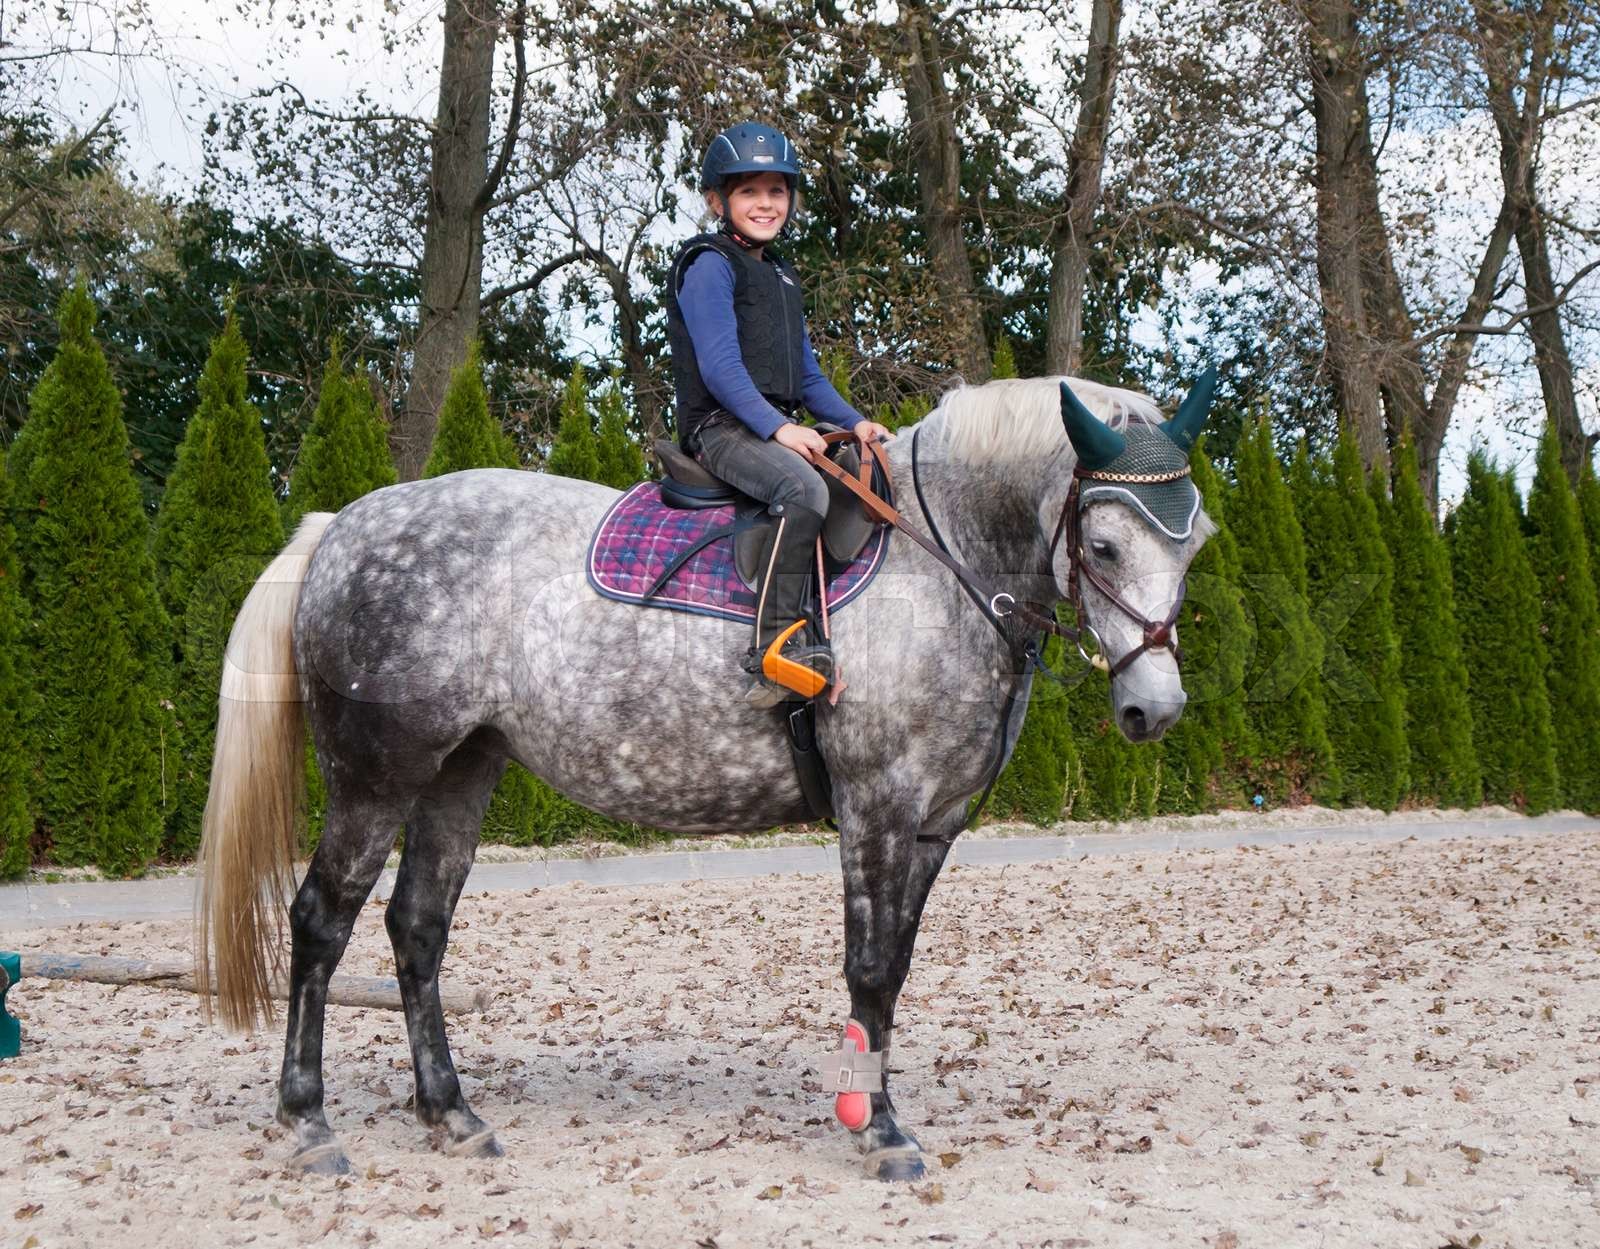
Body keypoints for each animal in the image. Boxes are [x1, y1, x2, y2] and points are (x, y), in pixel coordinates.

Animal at [196, 373, 1216, 1181]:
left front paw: (877, 1106)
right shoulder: (878, 805)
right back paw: (309, 1121)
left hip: (460, 771)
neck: (940, 566)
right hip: (377, 776)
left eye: (1194, 543)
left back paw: (452, 1113)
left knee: (417, 926)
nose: (1156, 707)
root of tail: (342, 524)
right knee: (320, 922)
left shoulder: (936, 824)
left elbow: (894, 968)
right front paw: (878, 1130)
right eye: (1106, 546)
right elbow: (869, 966)